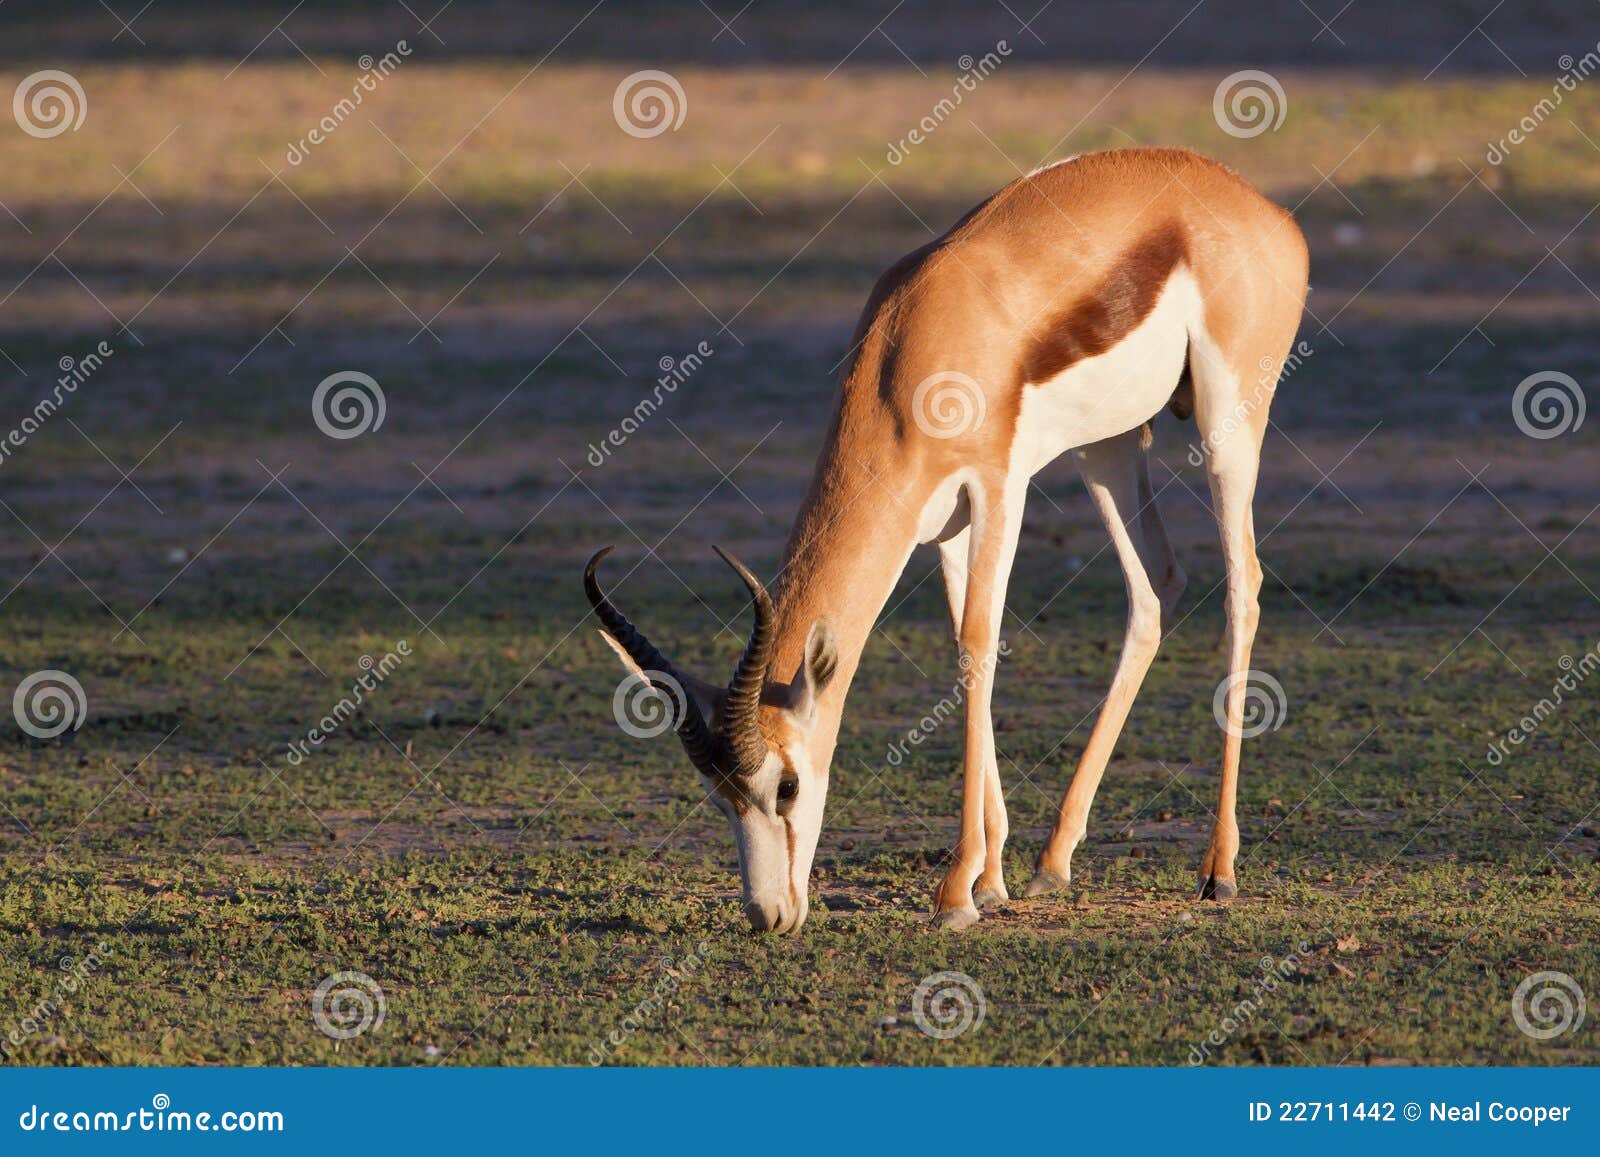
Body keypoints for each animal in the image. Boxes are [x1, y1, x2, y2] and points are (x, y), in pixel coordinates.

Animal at [587, 147, 1309, 932]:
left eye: (786, 785)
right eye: (720, 795)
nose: (768, 913)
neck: (913, 341)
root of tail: (1258, 206)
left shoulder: (999, 489)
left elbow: (980, 640)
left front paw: (956, 894)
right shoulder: (942, 523)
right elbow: (964, 648)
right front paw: (990, 880)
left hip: (1228, 426)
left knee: (1244, 589)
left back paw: (1219, 871)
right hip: (1110, 445)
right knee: (1156, 586)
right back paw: (1054, 861)